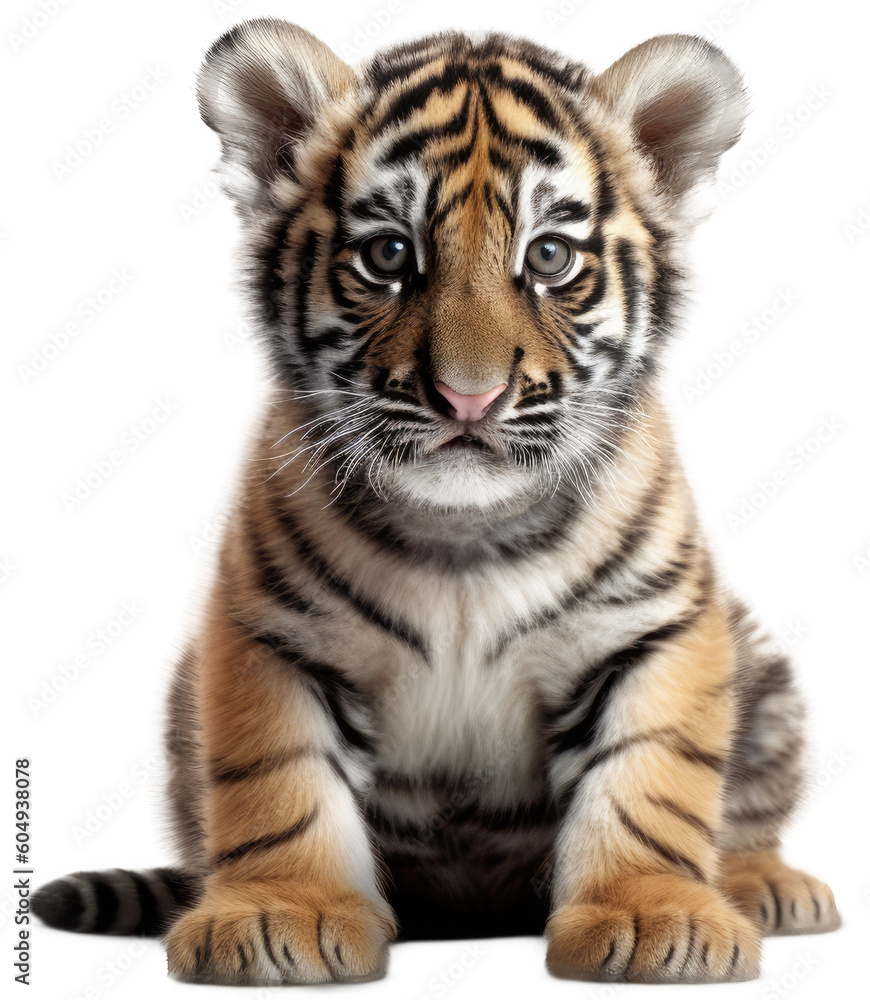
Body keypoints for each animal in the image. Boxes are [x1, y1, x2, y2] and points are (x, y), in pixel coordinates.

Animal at [32, 18, 840, 986]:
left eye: (549, 256)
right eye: (388, 256)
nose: (468, 398)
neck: (467, 537)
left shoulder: (654, 630)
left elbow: (650, 782)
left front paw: (657, 917)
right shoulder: (272, 633)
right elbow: (279, 782)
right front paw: (278, 915)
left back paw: (763, 887)